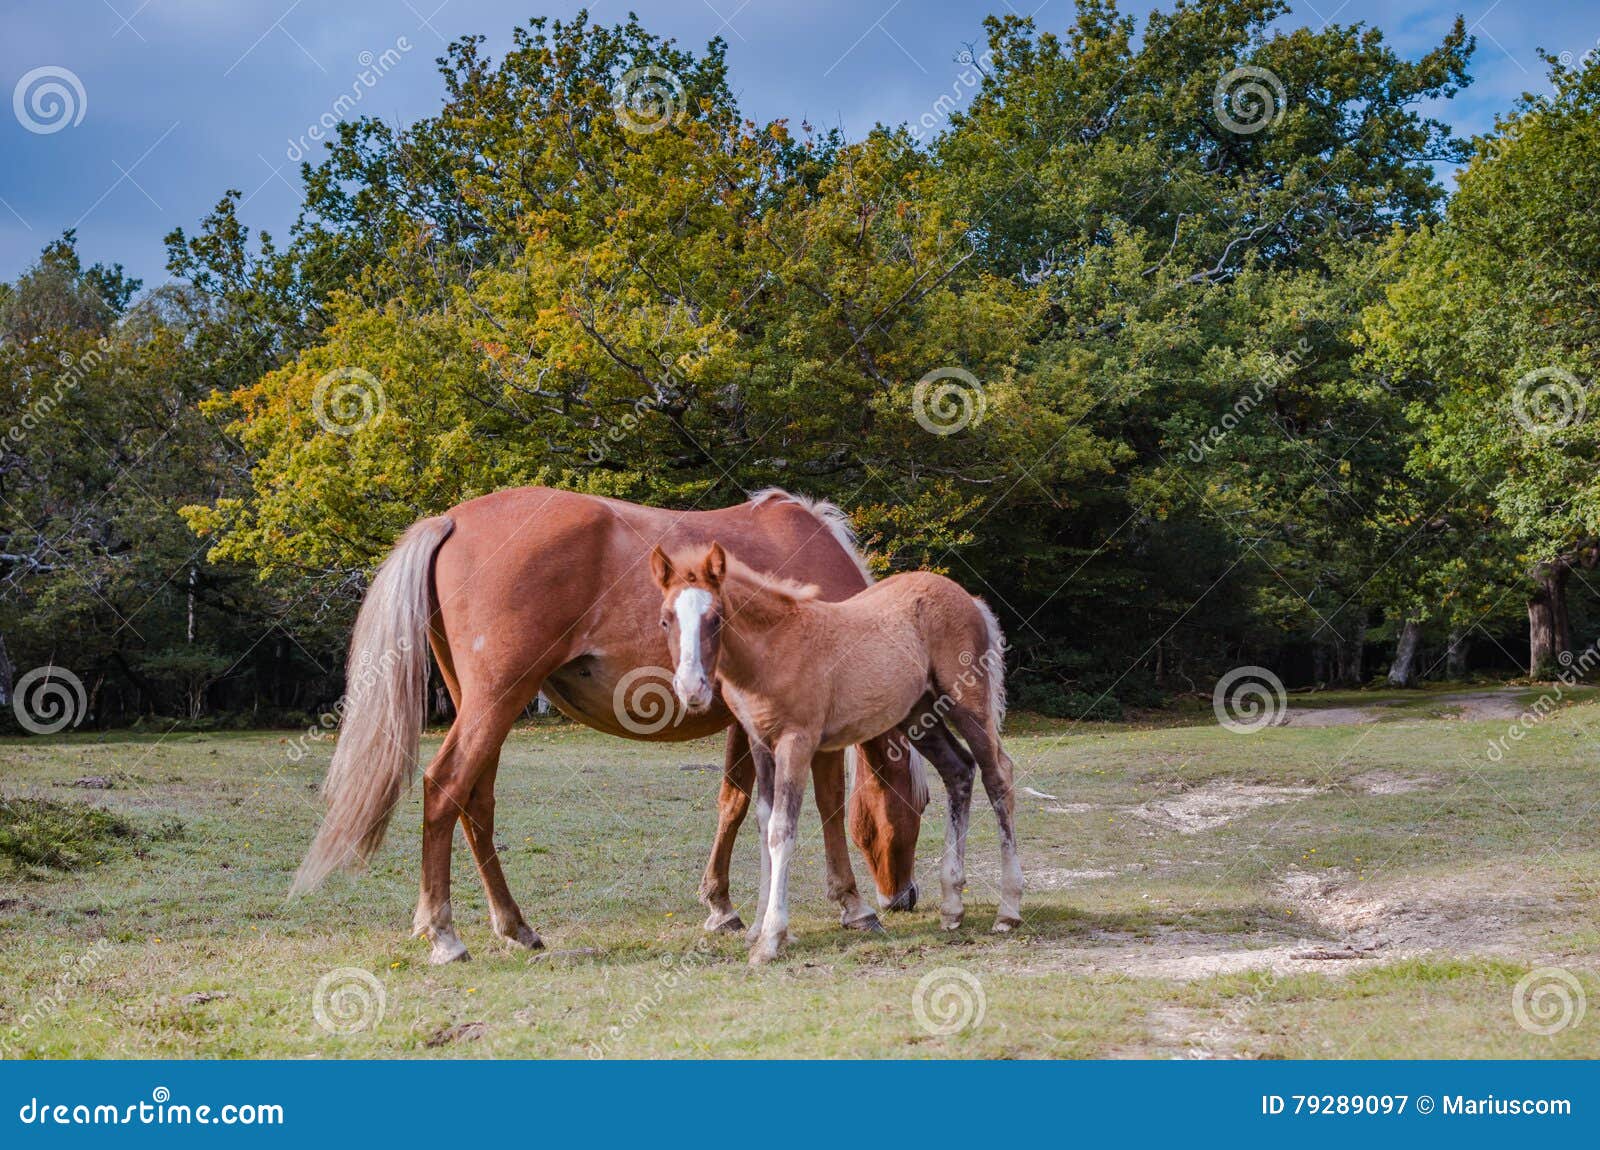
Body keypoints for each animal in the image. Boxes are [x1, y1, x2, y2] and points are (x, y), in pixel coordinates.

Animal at [290, 486, 928, 964]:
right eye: (918, 805)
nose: (904, 898)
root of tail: (451, 520)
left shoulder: (747, 722)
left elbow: (740, 803)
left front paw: (725, 908)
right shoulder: (806, 726)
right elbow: (823, 806)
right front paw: (850, 904)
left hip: (485, 705)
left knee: (477, 803)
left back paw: (515, 926)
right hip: (494, 702)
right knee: (444, 790)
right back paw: (445, 936)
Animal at [652, 540, 1023, 964]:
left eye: (715, 619)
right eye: (666, 621)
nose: (691, 689)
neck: (773, 649)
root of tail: (971, 600)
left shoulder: (797, 742)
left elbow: (782, 829)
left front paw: (772, 938)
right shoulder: (761, 742)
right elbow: (763, 824)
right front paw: (758, 928)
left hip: (966, 701)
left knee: (998, 775)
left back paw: (1008, 910)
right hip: (920, 711)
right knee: (958, 770)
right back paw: (952, 907)